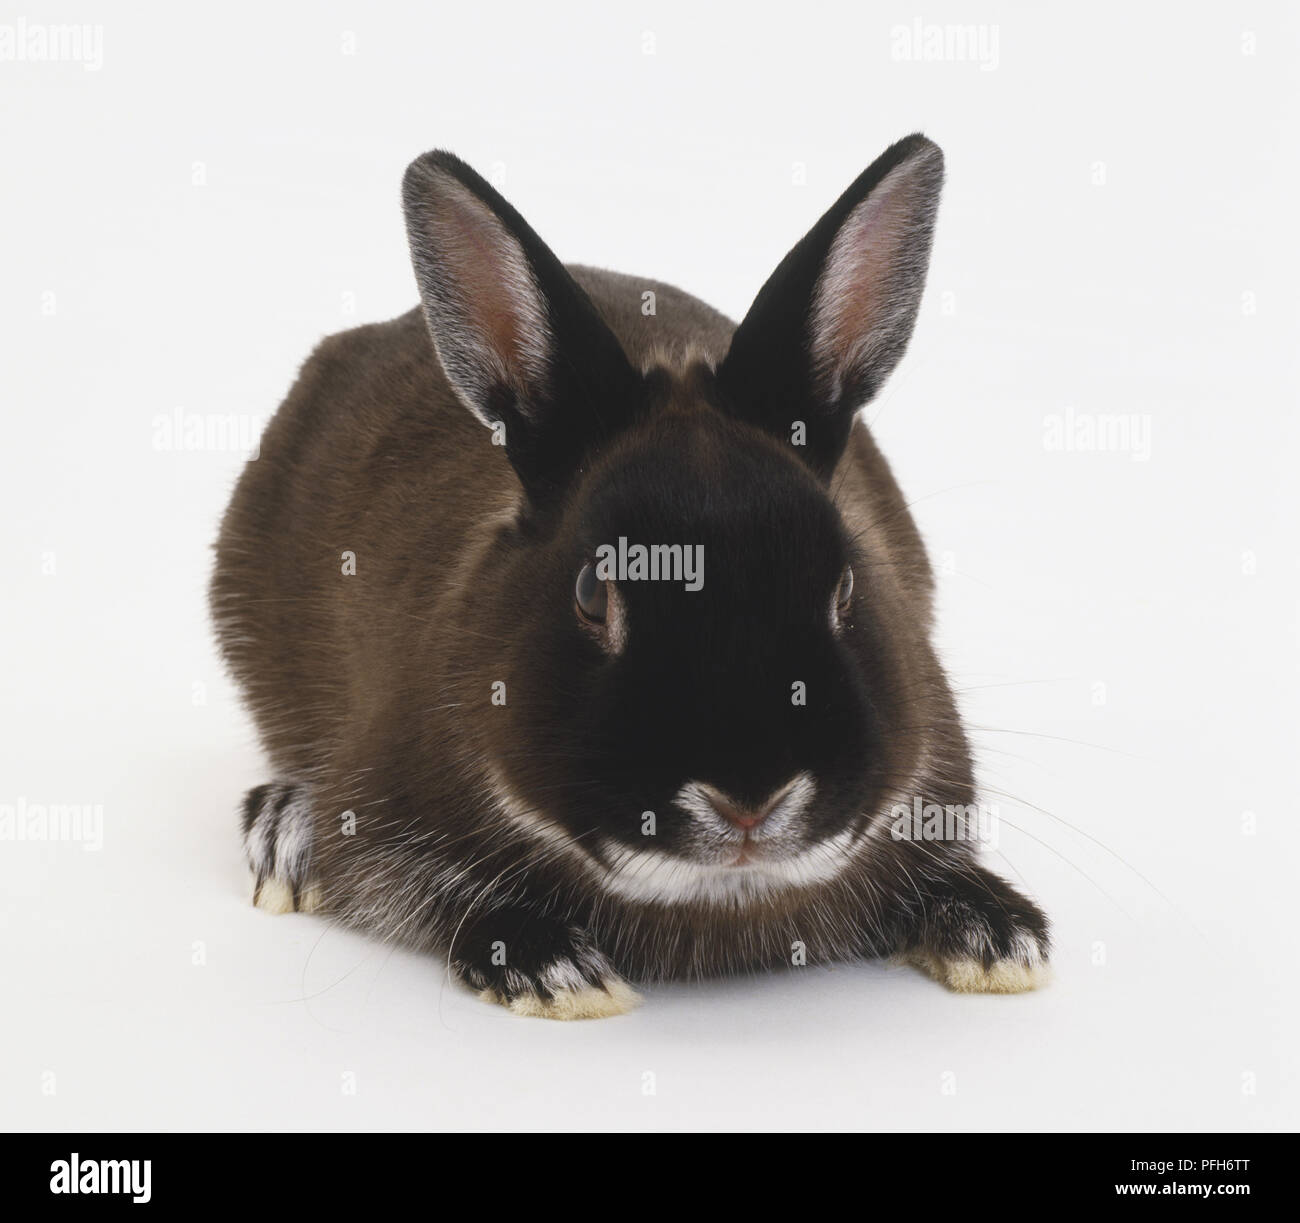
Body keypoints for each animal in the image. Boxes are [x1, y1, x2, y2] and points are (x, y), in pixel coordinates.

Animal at [210, 133, 1050, 1020]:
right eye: (591, 592)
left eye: (847, 587)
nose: (749, 798)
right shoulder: (378, 819)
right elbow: (426, 891)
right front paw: (554, 970)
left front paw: (998, 937)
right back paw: (283, 829)